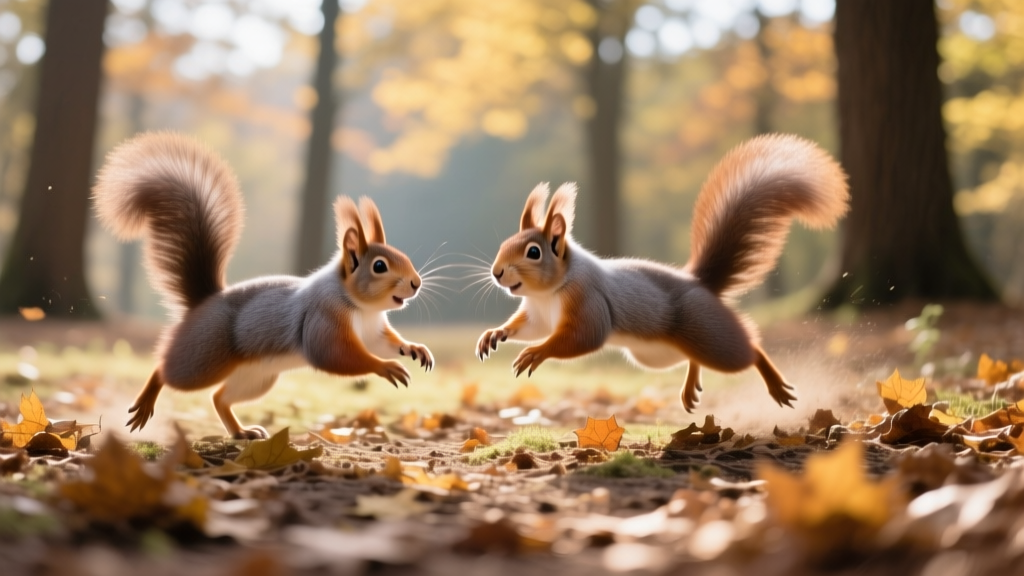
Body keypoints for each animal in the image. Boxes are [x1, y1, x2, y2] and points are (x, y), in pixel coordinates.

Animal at [93, 132, 433, 439]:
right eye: (379, 266)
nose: (416, 283)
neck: (361, 308)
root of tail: (202, 303)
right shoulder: (323, 319)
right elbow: (334, 355)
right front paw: (385, 367)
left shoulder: (372, 330)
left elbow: (383, 342)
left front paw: (413, 348)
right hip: (203, 359)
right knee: (167, 371)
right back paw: (147, 399)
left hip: (257, 378)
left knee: (219, 397)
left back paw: (241, 432)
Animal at [476, 134, 849, 411]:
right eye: (506, 242)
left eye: (533, 252)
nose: (497, 272)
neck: (548, 293)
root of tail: (701, 284)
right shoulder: (537, 314)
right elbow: (528, 327)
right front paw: (495, 334)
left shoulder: (587, 300)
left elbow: (584, 335)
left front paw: (536, 352)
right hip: (654, 355)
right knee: (692, 358)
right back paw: (690, 386)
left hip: (709, 333)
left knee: (749, 350)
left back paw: (774, 383)